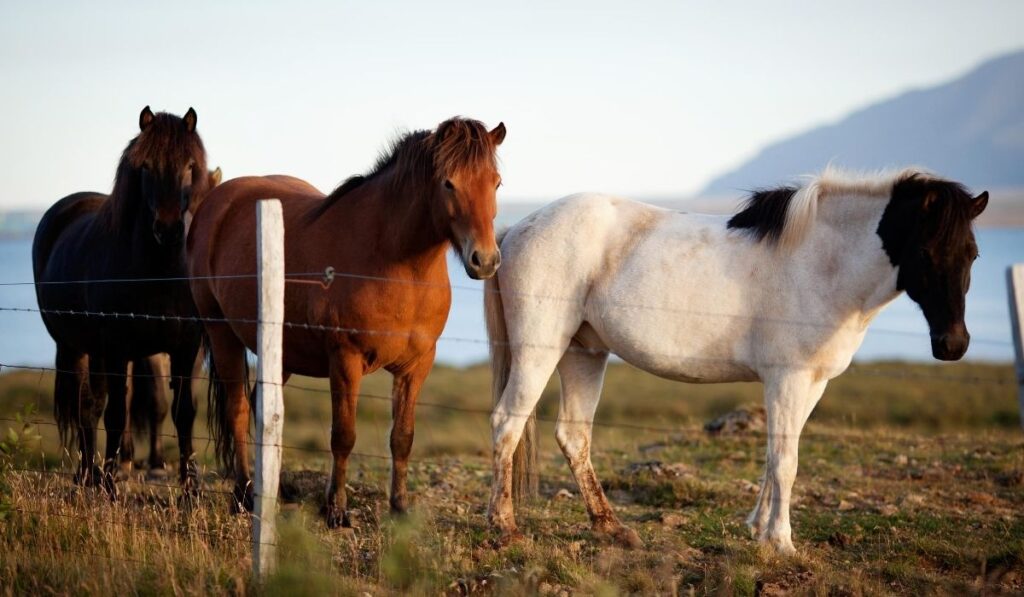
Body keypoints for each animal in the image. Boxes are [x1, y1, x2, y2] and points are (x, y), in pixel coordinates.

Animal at [32, 106, 211, 497]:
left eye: (190, 165)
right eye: (146, 166)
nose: (169, 229)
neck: (157, 274)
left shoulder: (184, 347)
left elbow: (183, 412)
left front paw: (190, 488)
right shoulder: (116, 347)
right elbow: (113, 413)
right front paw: (112, 483)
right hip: (74, 346)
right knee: (86, 407)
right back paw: (89, 473)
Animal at [188, 116, 505, 526]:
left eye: (496, 183)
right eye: (449, 182)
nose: (485, 259)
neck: (396, 264)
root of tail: (218, 201)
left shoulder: (417, 366)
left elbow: (403, 437)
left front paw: (399, 507)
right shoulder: (345, 359)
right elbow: (343, 435)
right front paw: (336, 509)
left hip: (280, 350)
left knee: (262, 408)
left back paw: (276, 487)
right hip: (222, 333)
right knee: (238, 410)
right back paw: (243, 494)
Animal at [485, 167, 987, 554]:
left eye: (972, 254)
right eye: (924, 251)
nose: (953, 344)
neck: (821, 262)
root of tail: (517, 229)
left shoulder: (813, 383)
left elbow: (774, 455)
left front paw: (759, 530)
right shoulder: (786, 379)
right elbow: (786, 460)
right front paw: (782, 543)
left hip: (583, 352)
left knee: (574, 437)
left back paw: (612, 528)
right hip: (540, 349)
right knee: (507, 424)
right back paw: (505, 528)